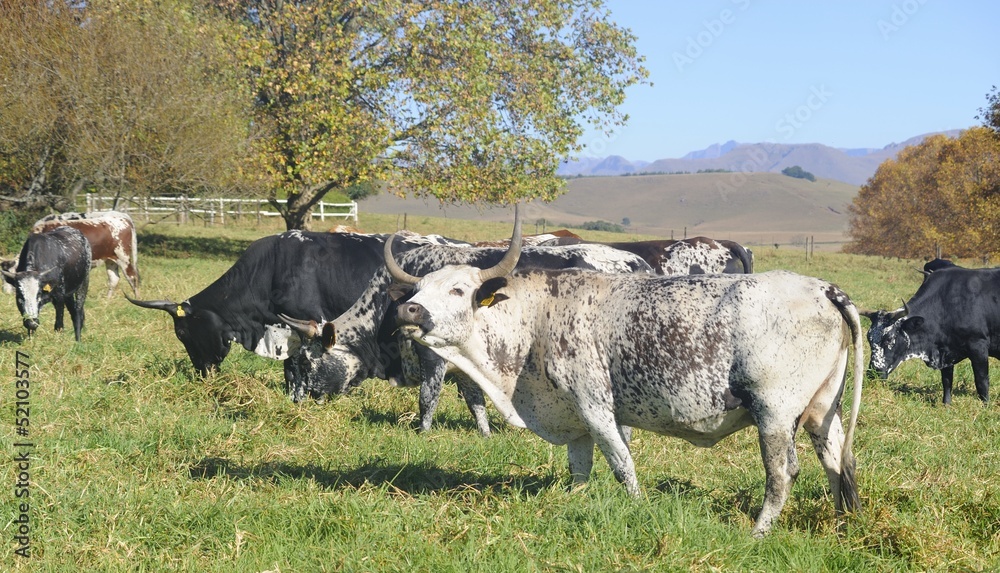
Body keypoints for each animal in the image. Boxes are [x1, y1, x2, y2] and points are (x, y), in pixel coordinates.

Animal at [279, 240, 653, 437]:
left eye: (305, 362)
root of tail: (636, 262)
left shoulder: (433, 358)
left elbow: (427, 399)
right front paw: (486, 435)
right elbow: (476, 403)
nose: (297, 402)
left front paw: (422, 433)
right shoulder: (464, 367)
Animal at [386, 215, 864, 537]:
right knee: (839, 463)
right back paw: (844, 523)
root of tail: (823, 288)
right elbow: (579, 468)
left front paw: (637, 507)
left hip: (775, 416)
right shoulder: (575, 418)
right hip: (825, 411)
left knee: (783, 474)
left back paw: (757, 532)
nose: (409, 311)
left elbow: (622, 465)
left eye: (457, 290)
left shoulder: (596, 408)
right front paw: (572, 503)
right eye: (418, 289)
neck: (536, 318)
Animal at [863, 265, 1000, 404]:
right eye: (869, 339)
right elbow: (947, 380)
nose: (873, 373)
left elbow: (982, 382)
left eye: (889, 339)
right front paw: (946, 404)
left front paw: (985, 405)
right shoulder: (946, 350)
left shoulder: (978, 346)